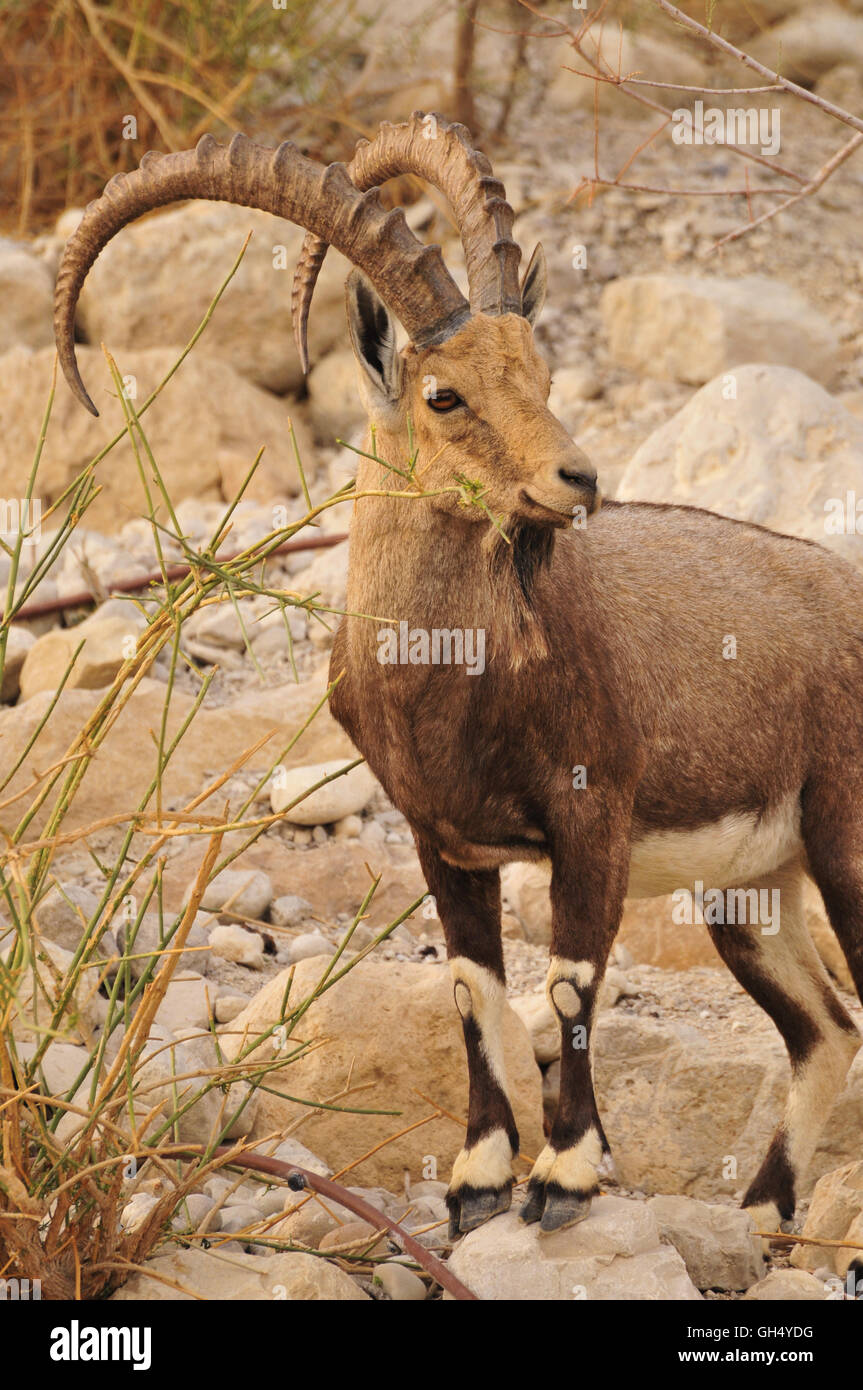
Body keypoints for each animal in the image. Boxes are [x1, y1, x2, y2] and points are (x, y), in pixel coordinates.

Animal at [54, 114, 863, 1240]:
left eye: (545, 377)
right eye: (445, 393)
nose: (578, 479)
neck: (446, 672)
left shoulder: (591, 815)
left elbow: (568, 985)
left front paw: (564, 1177)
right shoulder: (439, 835)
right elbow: (471, 988)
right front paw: (479, 1176)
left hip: (841, 836)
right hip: (750, 885)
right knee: (826, 1027)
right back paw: (759, 1206)